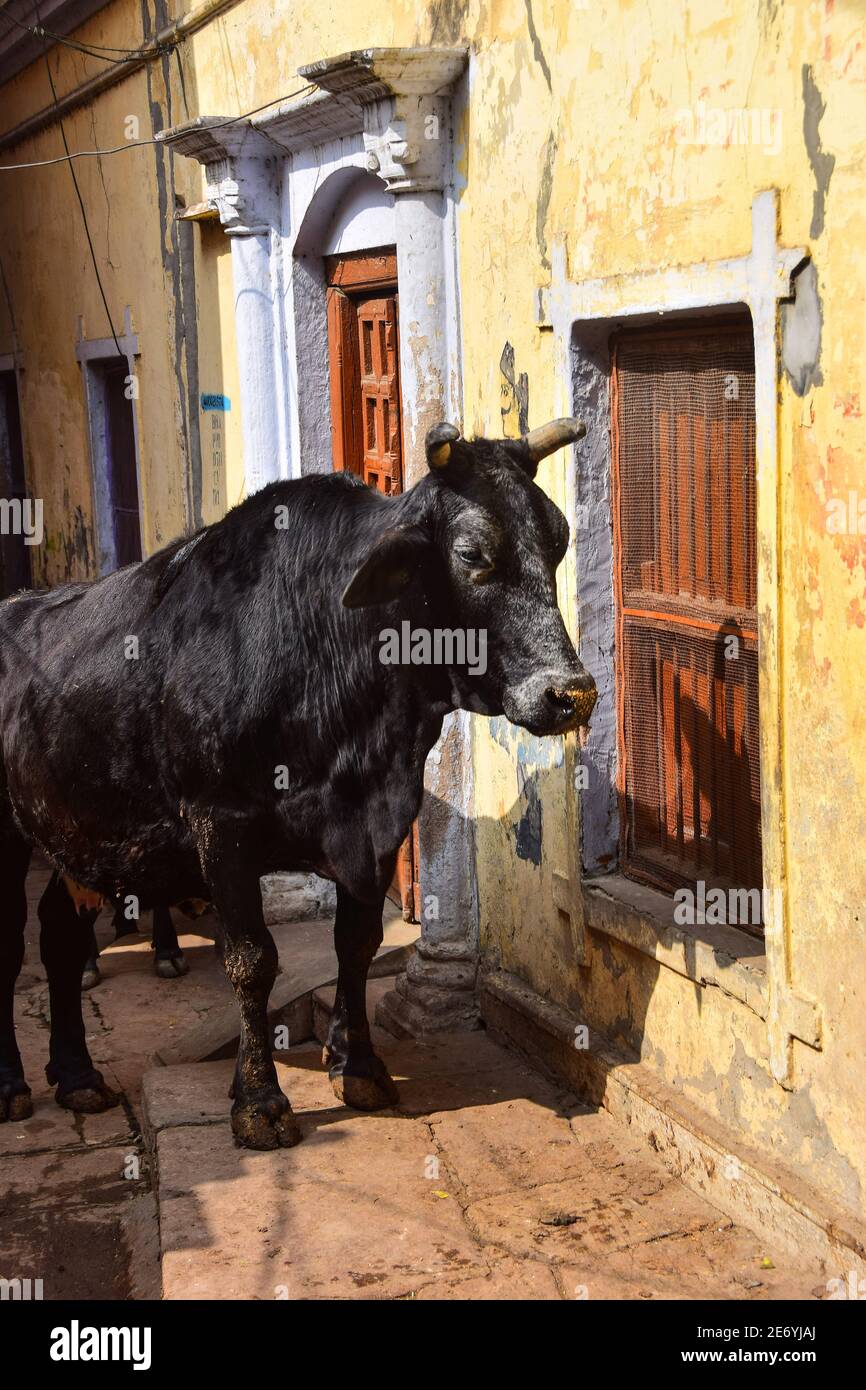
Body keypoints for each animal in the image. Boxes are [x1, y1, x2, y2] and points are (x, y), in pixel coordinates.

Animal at [0, 419, 597, 1149]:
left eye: (558, 539)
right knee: (10, 947)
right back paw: (13, 1086)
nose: (570, 694)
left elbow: (357, 943)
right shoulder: (220, 826)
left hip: (73, 835)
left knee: (58, 933)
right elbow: (252, 959)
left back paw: (77, 1076)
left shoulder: (378, 825)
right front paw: (259, 1101)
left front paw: (359, 1065)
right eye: (473, 554)